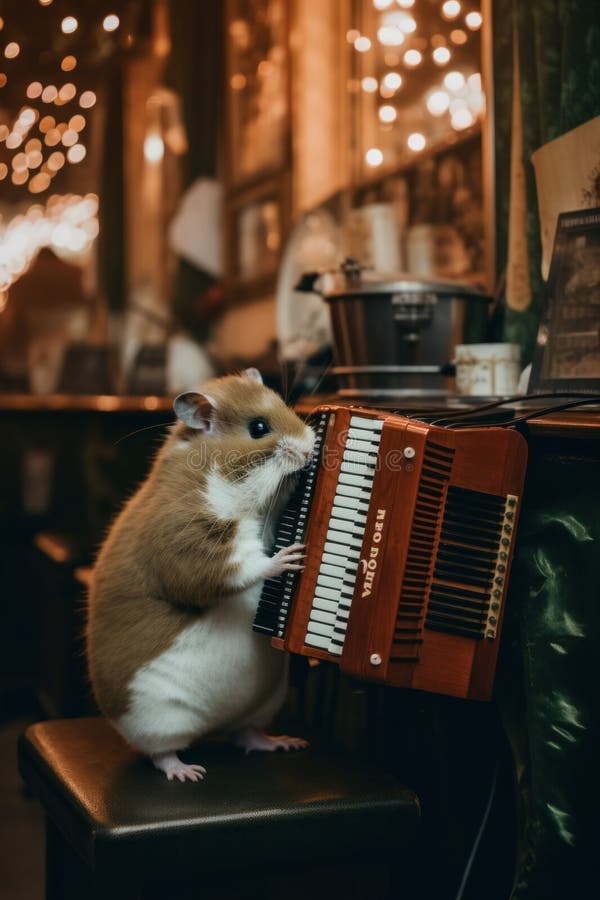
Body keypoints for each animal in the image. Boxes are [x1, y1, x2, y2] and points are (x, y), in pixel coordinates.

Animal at [86, 368, 315, 782]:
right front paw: (289, 557)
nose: (309, 449)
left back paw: (283, 742)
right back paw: (186, 772)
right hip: (156, 719)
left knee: (244, 734)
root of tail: (211, 727)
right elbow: (241, 565)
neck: (224, 476)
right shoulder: (191, 541)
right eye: (258, 427)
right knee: (161, 752)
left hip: (264, 701)